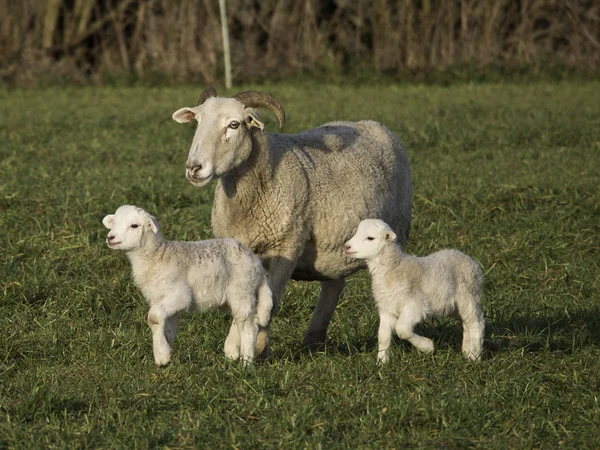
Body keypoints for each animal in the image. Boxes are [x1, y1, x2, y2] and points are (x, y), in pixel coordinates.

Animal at [102, 204, 272, 366]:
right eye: (114, 223)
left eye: (134, 225)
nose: (110, 237)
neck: (157, 256)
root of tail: (257, 265)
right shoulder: (161, 300)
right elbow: (166, 328)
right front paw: (166, 354)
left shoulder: (180, 296)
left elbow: (154, 317)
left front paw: (161, 355)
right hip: (230, 296)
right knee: (238, 319)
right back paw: (231, 351)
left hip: (242, 289)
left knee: (249, 325)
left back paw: (246, 363)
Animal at [171, 87, 410, 356]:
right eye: (197, 121)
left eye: (234, 124)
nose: (194, 168)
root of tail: (372, 123)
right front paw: (234, 349)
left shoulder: (288, 247)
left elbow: (270, 302)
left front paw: (257, 349)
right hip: (337, 240)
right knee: (333, 285)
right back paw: (313, 339)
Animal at [344, 218, 486, 362]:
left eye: (370, 238)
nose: (347, 247)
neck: (393, 268)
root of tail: (470, 260)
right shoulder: (386, 308)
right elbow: (383, 336)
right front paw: (382, 362)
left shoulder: (415, 306)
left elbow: (402, 329)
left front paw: (427, 347)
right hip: (452, 306)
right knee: (466, 323)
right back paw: (467, 351)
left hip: (468, 295)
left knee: (476, 323)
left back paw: (475, 356)